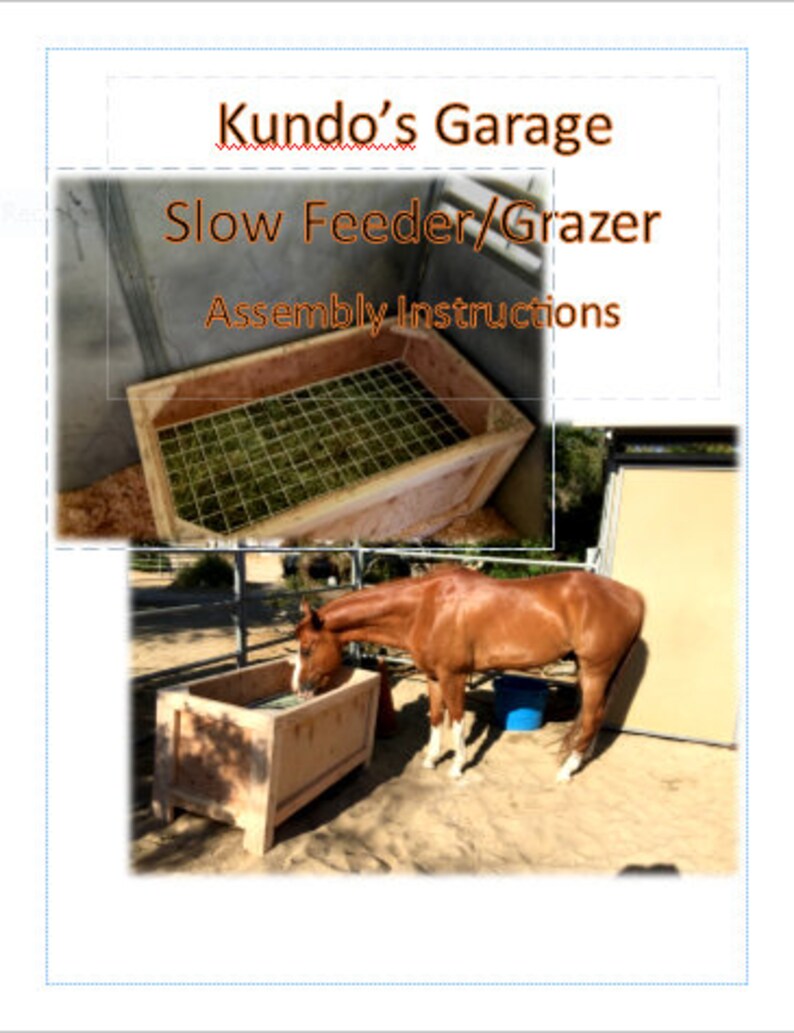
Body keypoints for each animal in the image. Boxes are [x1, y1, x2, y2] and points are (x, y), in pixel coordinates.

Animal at [293, 565, 644, 783]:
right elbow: (436, 717)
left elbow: (458, 721)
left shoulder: (455, 676)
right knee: (592, 716)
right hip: (591, 672)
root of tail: (634, 596)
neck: (426, 607)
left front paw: (457, 767)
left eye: (307, 649)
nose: (299, 689)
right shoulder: (434, 676)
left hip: (596, 671)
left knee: (592, 716)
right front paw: (431, 759)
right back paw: (580, 759)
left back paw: (567, 771)